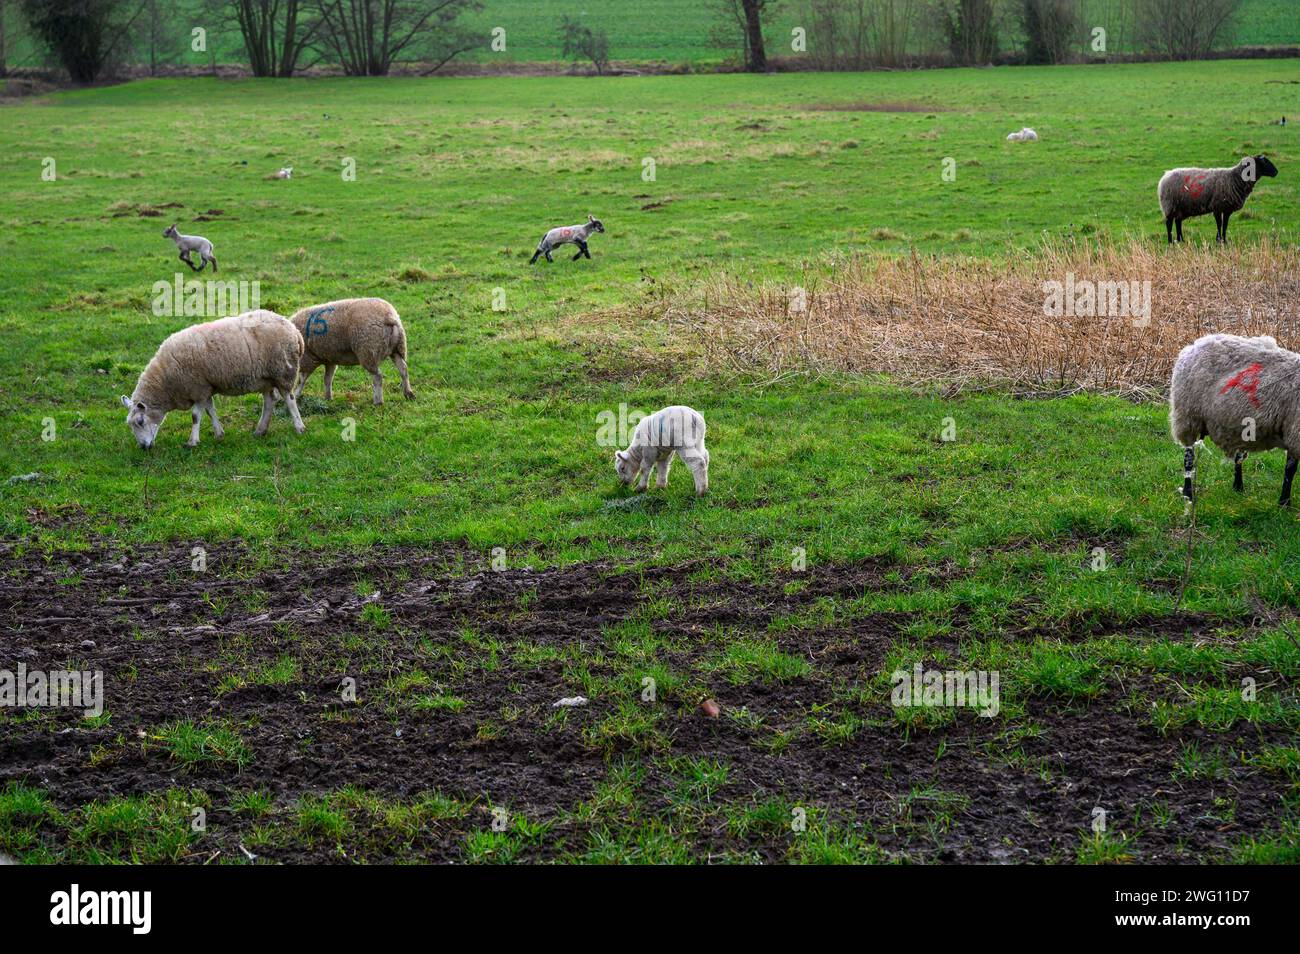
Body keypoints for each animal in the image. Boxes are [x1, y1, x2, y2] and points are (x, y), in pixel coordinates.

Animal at [121, 309, 305, 450]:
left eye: (140, 421)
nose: (143, 447)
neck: (166, 382)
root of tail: (294, 330)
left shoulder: (198, 388)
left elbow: (195, 416)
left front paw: (192, 442)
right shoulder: (205, 389)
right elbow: (210, 411)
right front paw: (219, 433)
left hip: (283, 372)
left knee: (289, 399)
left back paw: (299, 427)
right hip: (265, 378)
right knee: (269, 401)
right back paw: (260, 430)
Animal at [1169, 333, 1300, 506]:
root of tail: (1195, 344)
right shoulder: (1294, 431)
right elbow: (1290, 470)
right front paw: (1284, 503)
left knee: (1238, 457)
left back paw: (1238, 487)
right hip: (1187, 416)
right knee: (1189, 457)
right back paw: (1188, 493)